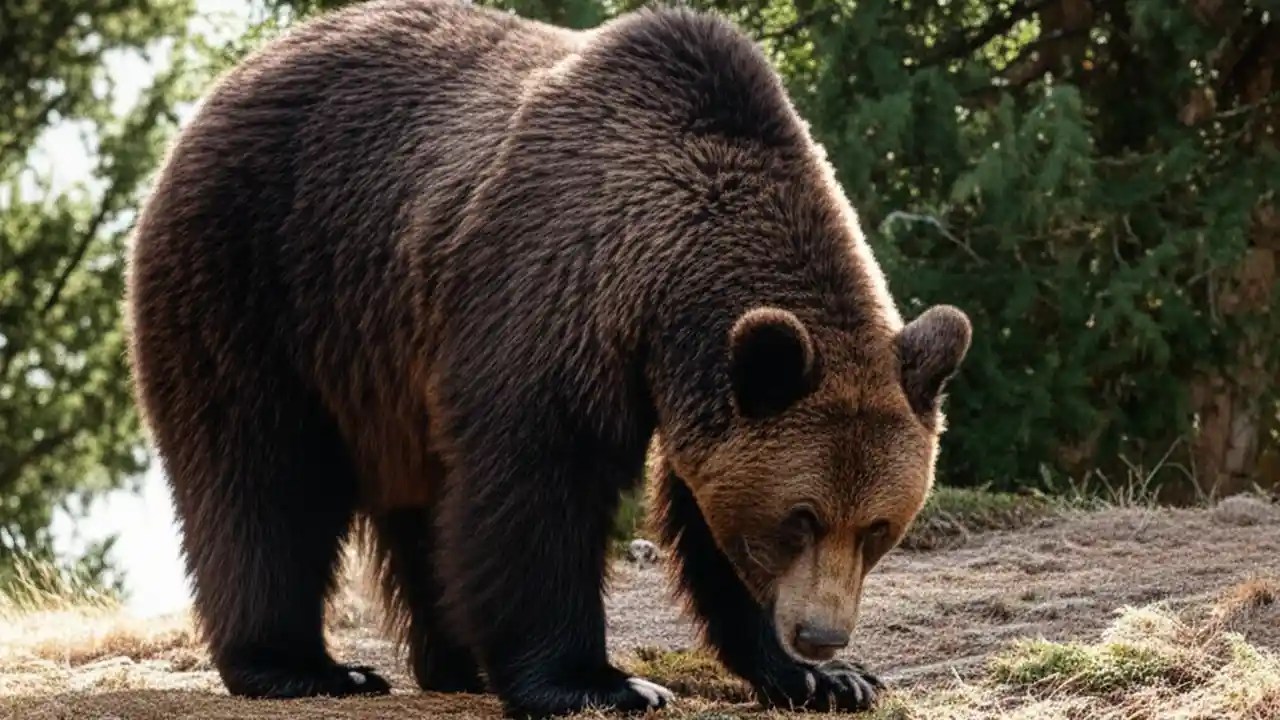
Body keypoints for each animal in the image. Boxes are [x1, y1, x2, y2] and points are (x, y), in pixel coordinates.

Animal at [124, 0, 971, 717]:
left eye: (877, 527)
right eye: (801, 518)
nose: (822, 635)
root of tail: (224, 87)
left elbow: (702, 519)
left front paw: (828, 679)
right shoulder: (556, 288)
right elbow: (539, 479)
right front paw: (603, 682)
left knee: (422, 504)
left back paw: (454, 658)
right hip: (261, 279)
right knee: (264, 474)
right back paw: (305, 664)